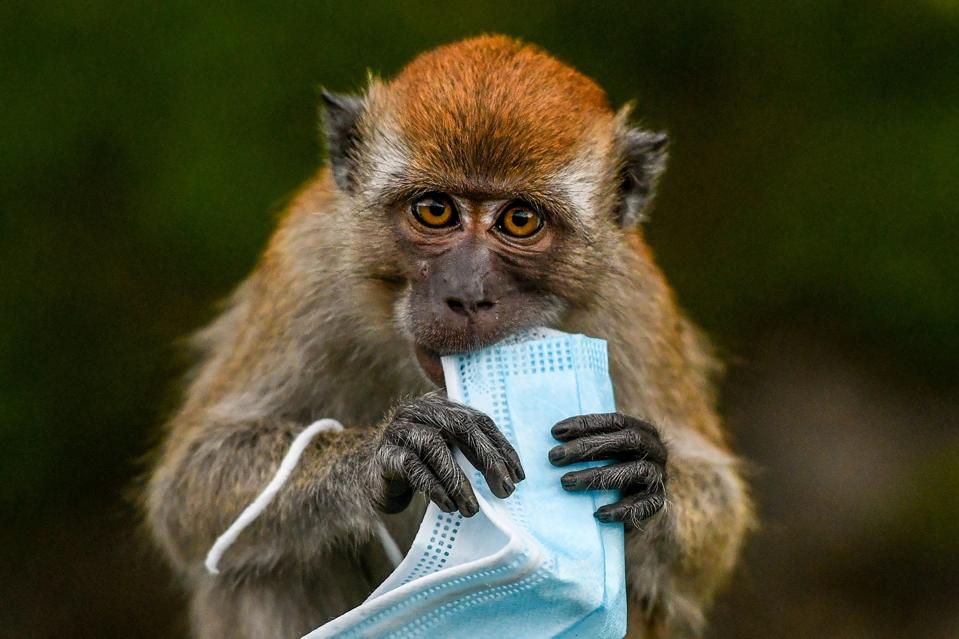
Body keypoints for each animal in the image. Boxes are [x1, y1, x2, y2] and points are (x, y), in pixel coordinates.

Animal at [144, 35, 752, 639]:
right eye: (435, 210)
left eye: (520, 220)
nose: (467, 293)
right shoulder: (307, 261)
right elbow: (190, 489)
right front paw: (393, 447)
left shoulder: (634, 301)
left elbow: (716, 525)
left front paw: (643, 468)